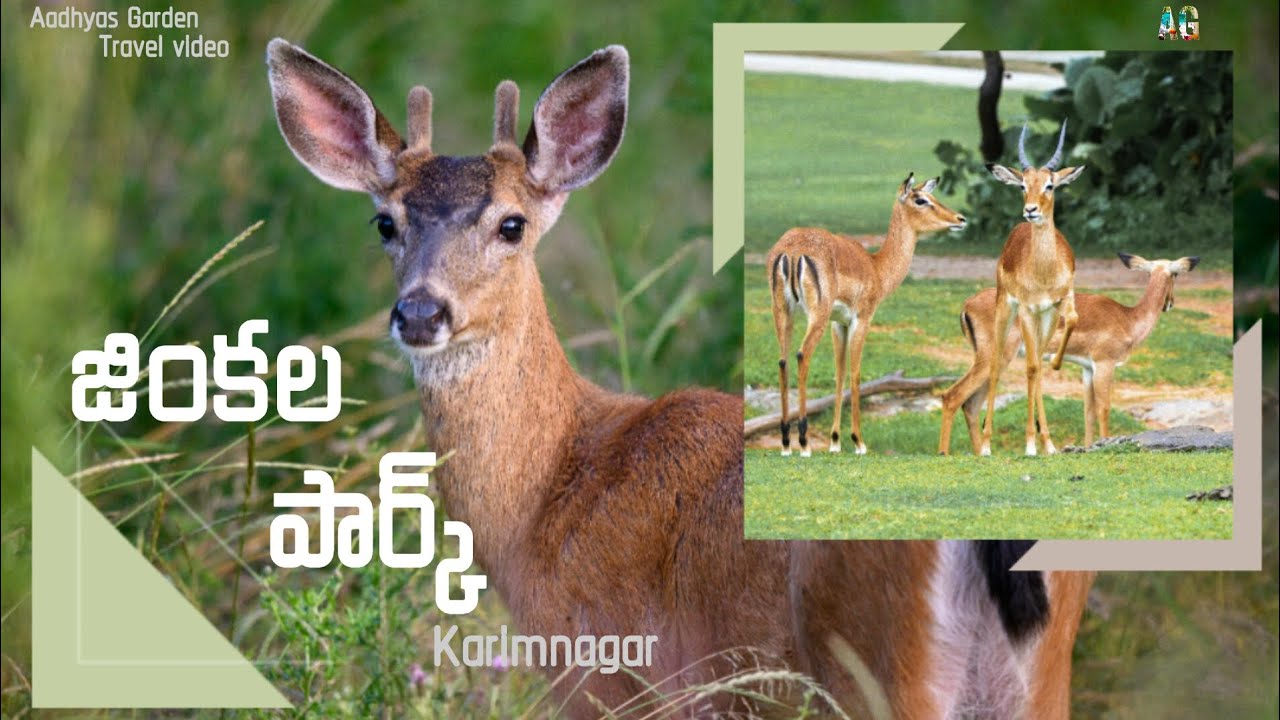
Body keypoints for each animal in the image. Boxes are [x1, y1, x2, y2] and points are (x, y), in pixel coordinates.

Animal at [766, 176, 967, 457]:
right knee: (802, 355)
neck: (876, 267)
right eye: (921, 200)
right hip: (815, 316)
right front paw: (858, 441)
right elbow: (856, 373)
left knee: (783, 360)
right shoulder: (861, 319)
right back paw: (803, 443)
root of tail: (791, 252)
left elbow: (839, 374)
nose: (960, 219)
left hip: (783, 312)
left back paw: (786, 443)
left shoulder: (838, 323)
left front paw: (835, 442)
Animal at [939, 253, 1200, 455]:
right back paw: (945, 453)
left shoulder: (1087, 368)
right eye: (1176, 274)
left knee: (970, 405)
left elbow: (1088, 412)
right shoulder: (1104, 364)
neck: (1128, 318)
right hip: (996, 357)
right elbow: (1104, 408)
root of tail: (967, 305)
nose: (1169, 303)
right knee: (952, 396)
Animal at [979, 122, 1085, 457]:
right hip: (1006, 309)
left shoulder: (1060, 303)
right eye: (1022, 185)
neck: (1044, 273)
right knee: (998, 365)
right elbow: (1030, 367)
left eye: (1050, 185)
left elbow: (1070, 325)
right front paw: (1028, 444)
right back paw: (986, 445)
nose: (1031, 211)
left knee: (1035, 360)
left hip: (1043, 319)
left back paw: (1047, 442)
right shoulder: (1026, 309)